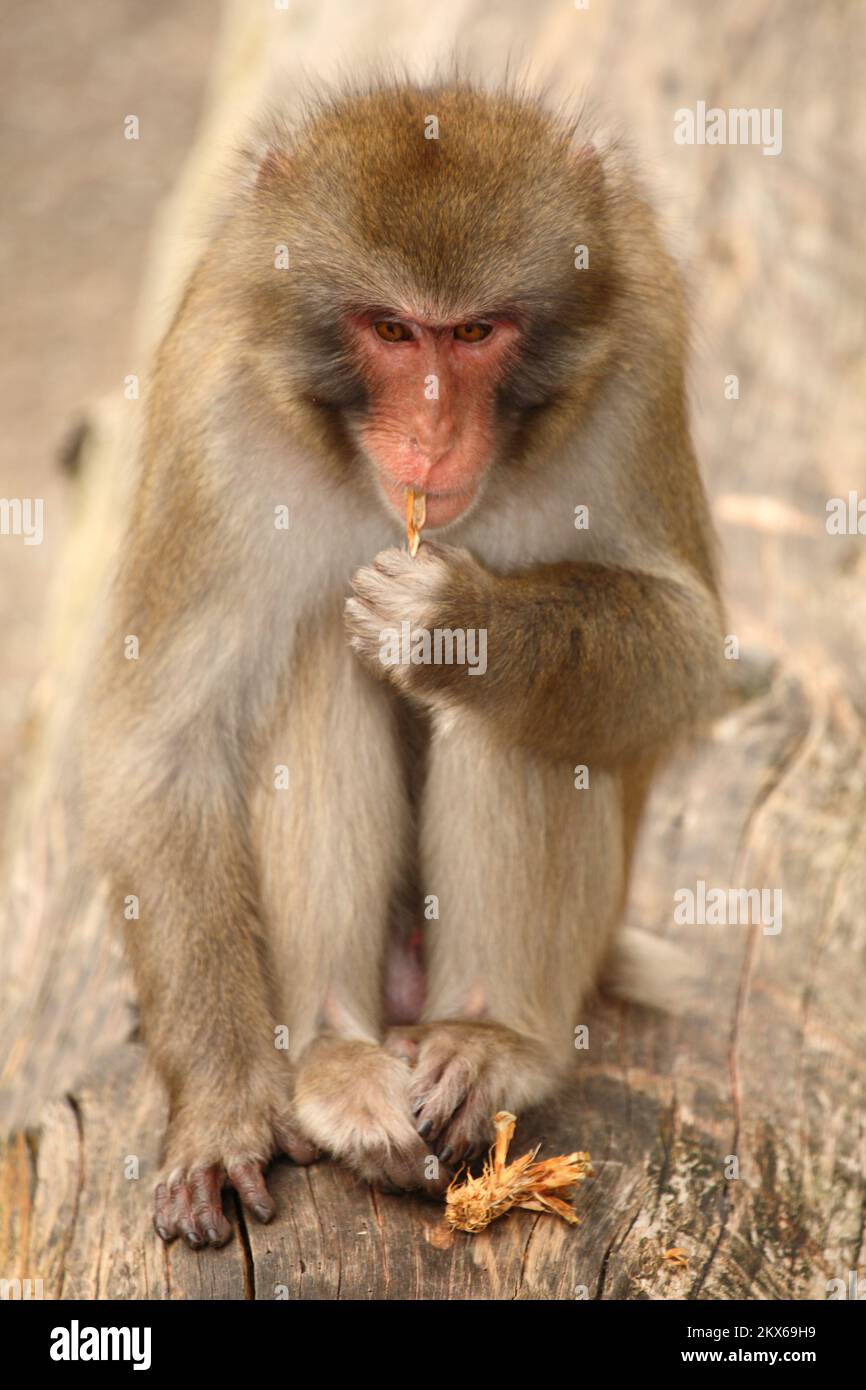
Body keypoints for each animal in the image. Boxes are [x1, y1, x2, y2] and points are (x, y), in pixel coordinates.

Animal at [80, 82, 725, 1248]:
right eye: (390, 329)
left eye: (472, 331)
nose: (429, 440)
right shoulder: (211, 392)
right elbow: (159, 748)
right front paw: (220, 1113)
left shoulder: (640, 351)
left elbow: (692, 652)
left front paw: (460, 622)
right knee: (310, 653)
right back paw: (336, 1052)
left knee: (522, 718)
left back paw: (489, 1037)